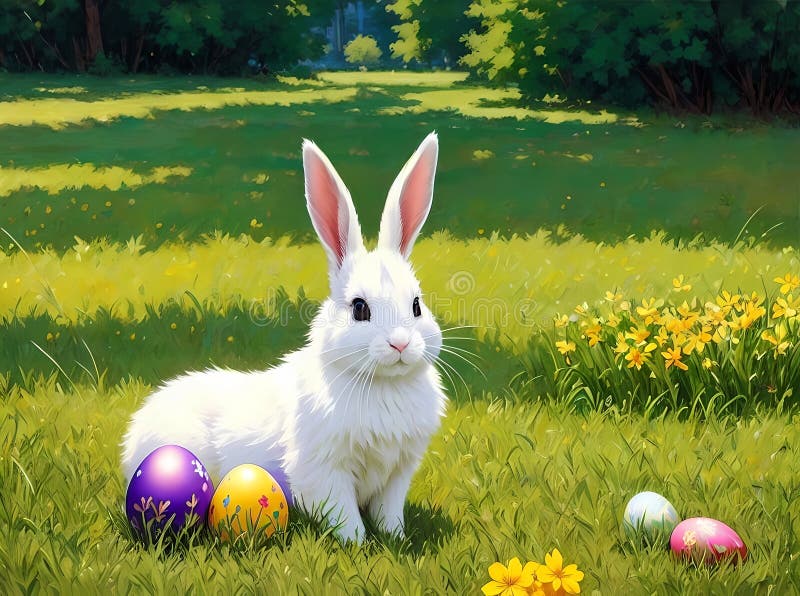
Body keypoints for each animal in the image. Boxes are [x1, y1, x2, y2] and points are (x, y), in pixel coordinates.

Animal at [121, 132, 447, 543]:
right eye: (359, 308)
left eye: (417, 305)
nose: (401, 344)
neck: (383, 385)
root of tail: (133, 435)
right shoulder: (323, 471)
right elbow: (345, 516)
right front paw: (359, 545)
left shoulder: (397, 475)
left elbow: (389, 513)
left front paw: (397, 540)